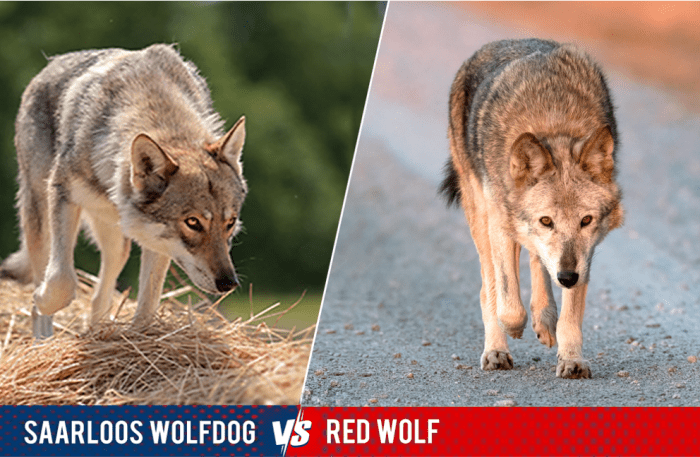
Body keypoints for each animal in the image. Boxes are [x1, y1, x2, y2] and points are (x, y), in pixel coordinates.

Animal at [0, 44, 247, 339]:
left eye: (230, 223)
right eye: (193, 222)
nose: (229, 283)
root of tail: (50, 65)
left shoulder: (158, 242)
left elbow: (147, 306)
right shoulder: (62, 195)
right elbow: (61, 282)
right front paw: (41, 299)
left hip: (117, 242)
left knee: (100, 296)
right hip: (41, 215)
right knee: (45, 282)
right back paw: (43, 339)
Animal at [439, 39, 623, 378]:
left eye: (586, 220)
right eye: (547, 220)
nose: (567, 277)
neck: (552, 121)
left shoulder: (583, 257)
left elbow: (570, 316)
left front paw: (571, 359)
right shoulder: (501, 222)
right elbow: (509, 305)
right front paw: (513, 330)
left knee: (537, 262)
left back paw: (544, 318)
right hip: (481, 217)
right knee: (489, 287)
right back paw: (496, 351)